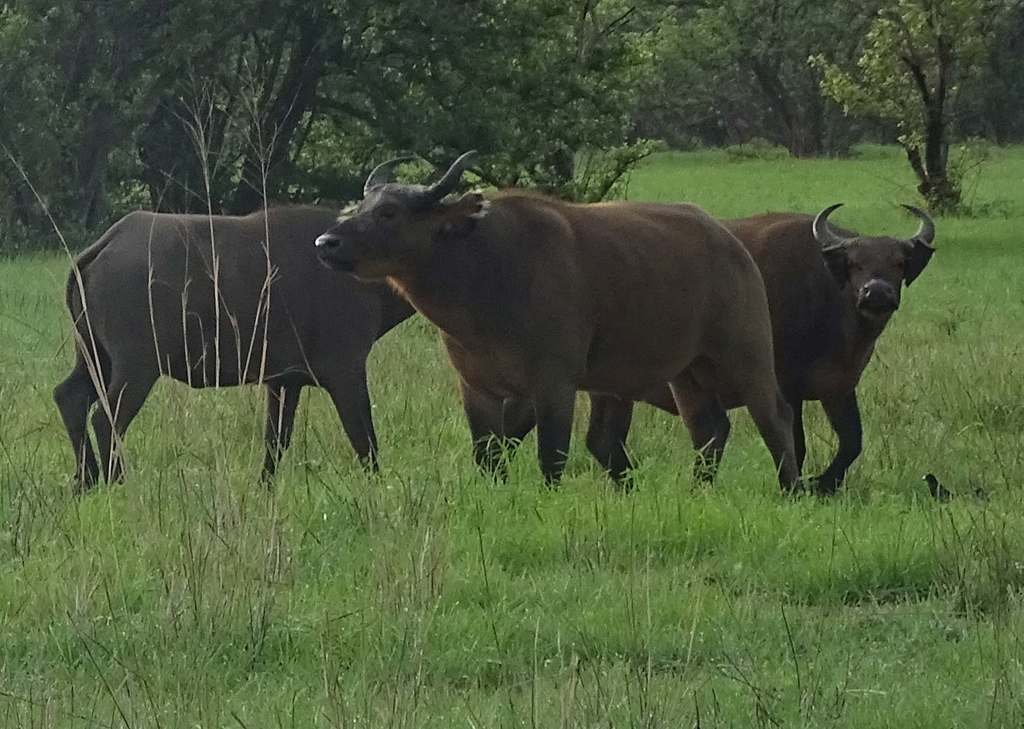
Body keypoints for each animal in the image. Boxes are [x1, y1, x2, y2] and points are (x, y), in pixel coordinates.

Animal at [54, 206, 414, 491]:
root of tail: (105, 244)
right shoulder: (346, 372)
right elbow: (364, 440)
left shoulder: (284, 382)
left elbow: (276, 442)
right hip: (137, 365)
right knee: (106, 418)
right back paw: (117, 481)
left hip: (94, 356)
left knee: (70, 397)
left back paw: (85, 479)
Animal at [315, 152, 798, 489]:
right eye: (360, 206)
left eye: (389, 213)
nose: (326, 242)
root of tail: (731, 243)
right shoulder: (476, 387)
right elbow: (488, 455)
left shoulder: (554, 384)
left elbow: (551, 455)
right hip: (685, 373)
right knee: (706, 430)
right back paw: (699, 489)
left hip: (747, 354)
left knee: (775, 417)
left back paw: (790, 488)